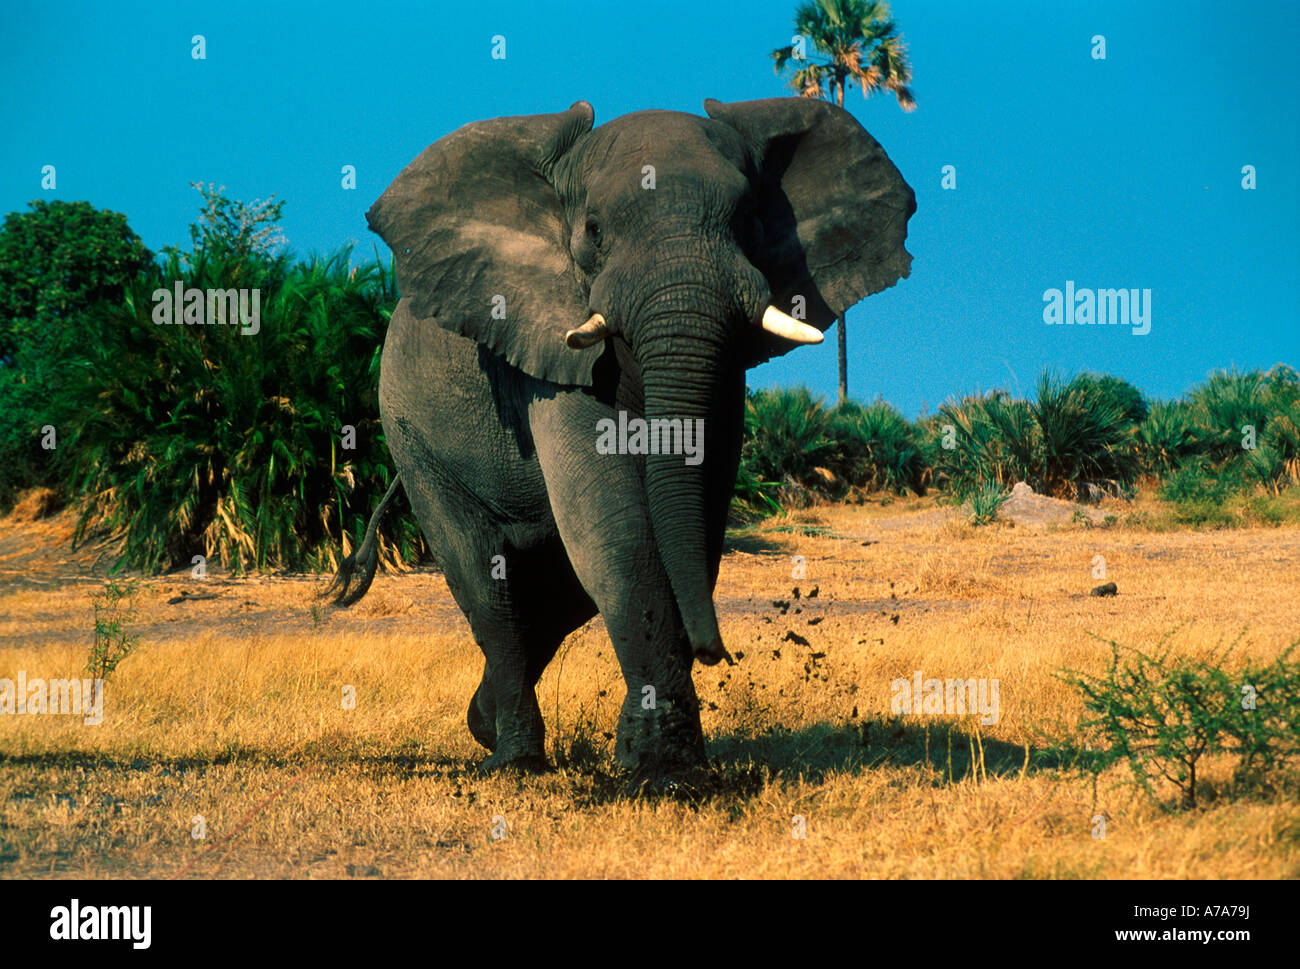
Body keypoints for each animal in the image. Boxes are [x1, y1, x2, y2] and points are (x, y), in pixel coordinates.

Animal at [327, 96, 915, 778]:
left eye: (748, 221)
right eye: (593, 231)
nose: (719, 652)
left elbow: (695, 512)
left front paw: (672, 763)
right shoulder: (550, 349)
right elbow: (620, 525)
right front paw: (658, 768)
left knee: (556, 593)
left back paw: (484, 724)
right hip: (412, 435)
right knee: (485, 580)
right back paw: (514, 760)